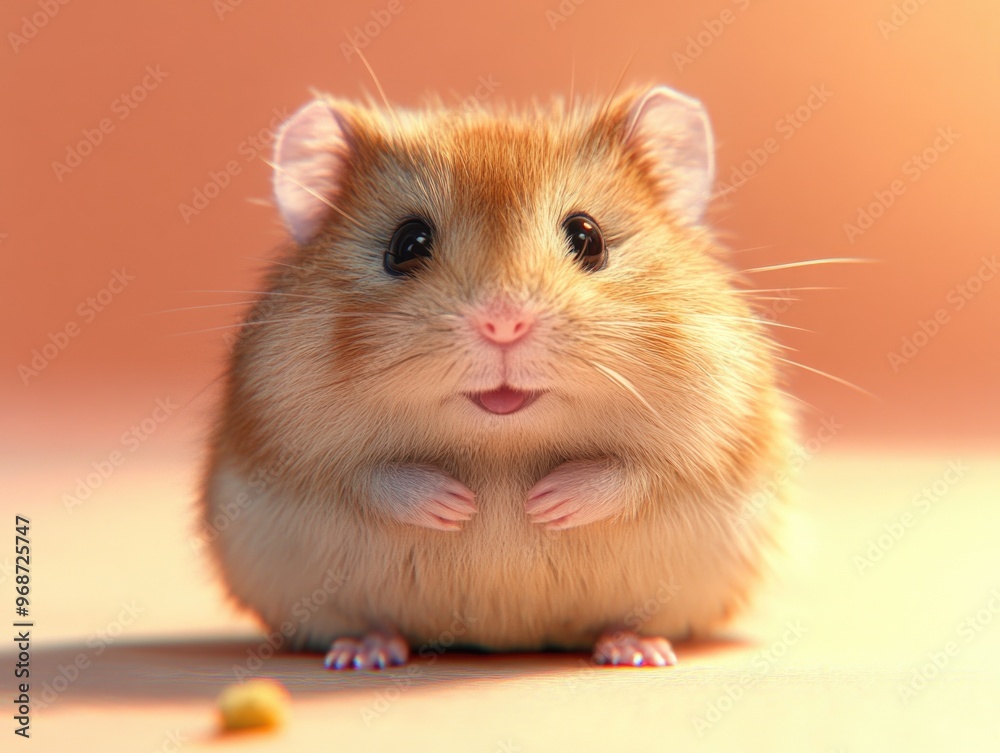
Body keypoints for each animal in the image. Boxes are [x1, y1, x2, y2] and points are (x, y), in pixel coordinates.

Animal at [199, 83, 795, 670]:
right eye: (407, 244)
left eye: (589, 238)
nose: (504, 323)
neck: (502, 445)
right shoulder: (288, 449)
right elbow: (371, 477)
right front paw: (460, 505)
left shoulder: (714, 438)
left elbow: (635, 472)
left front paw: (544, 504)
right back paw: (363, 652)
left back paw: (636, 649)